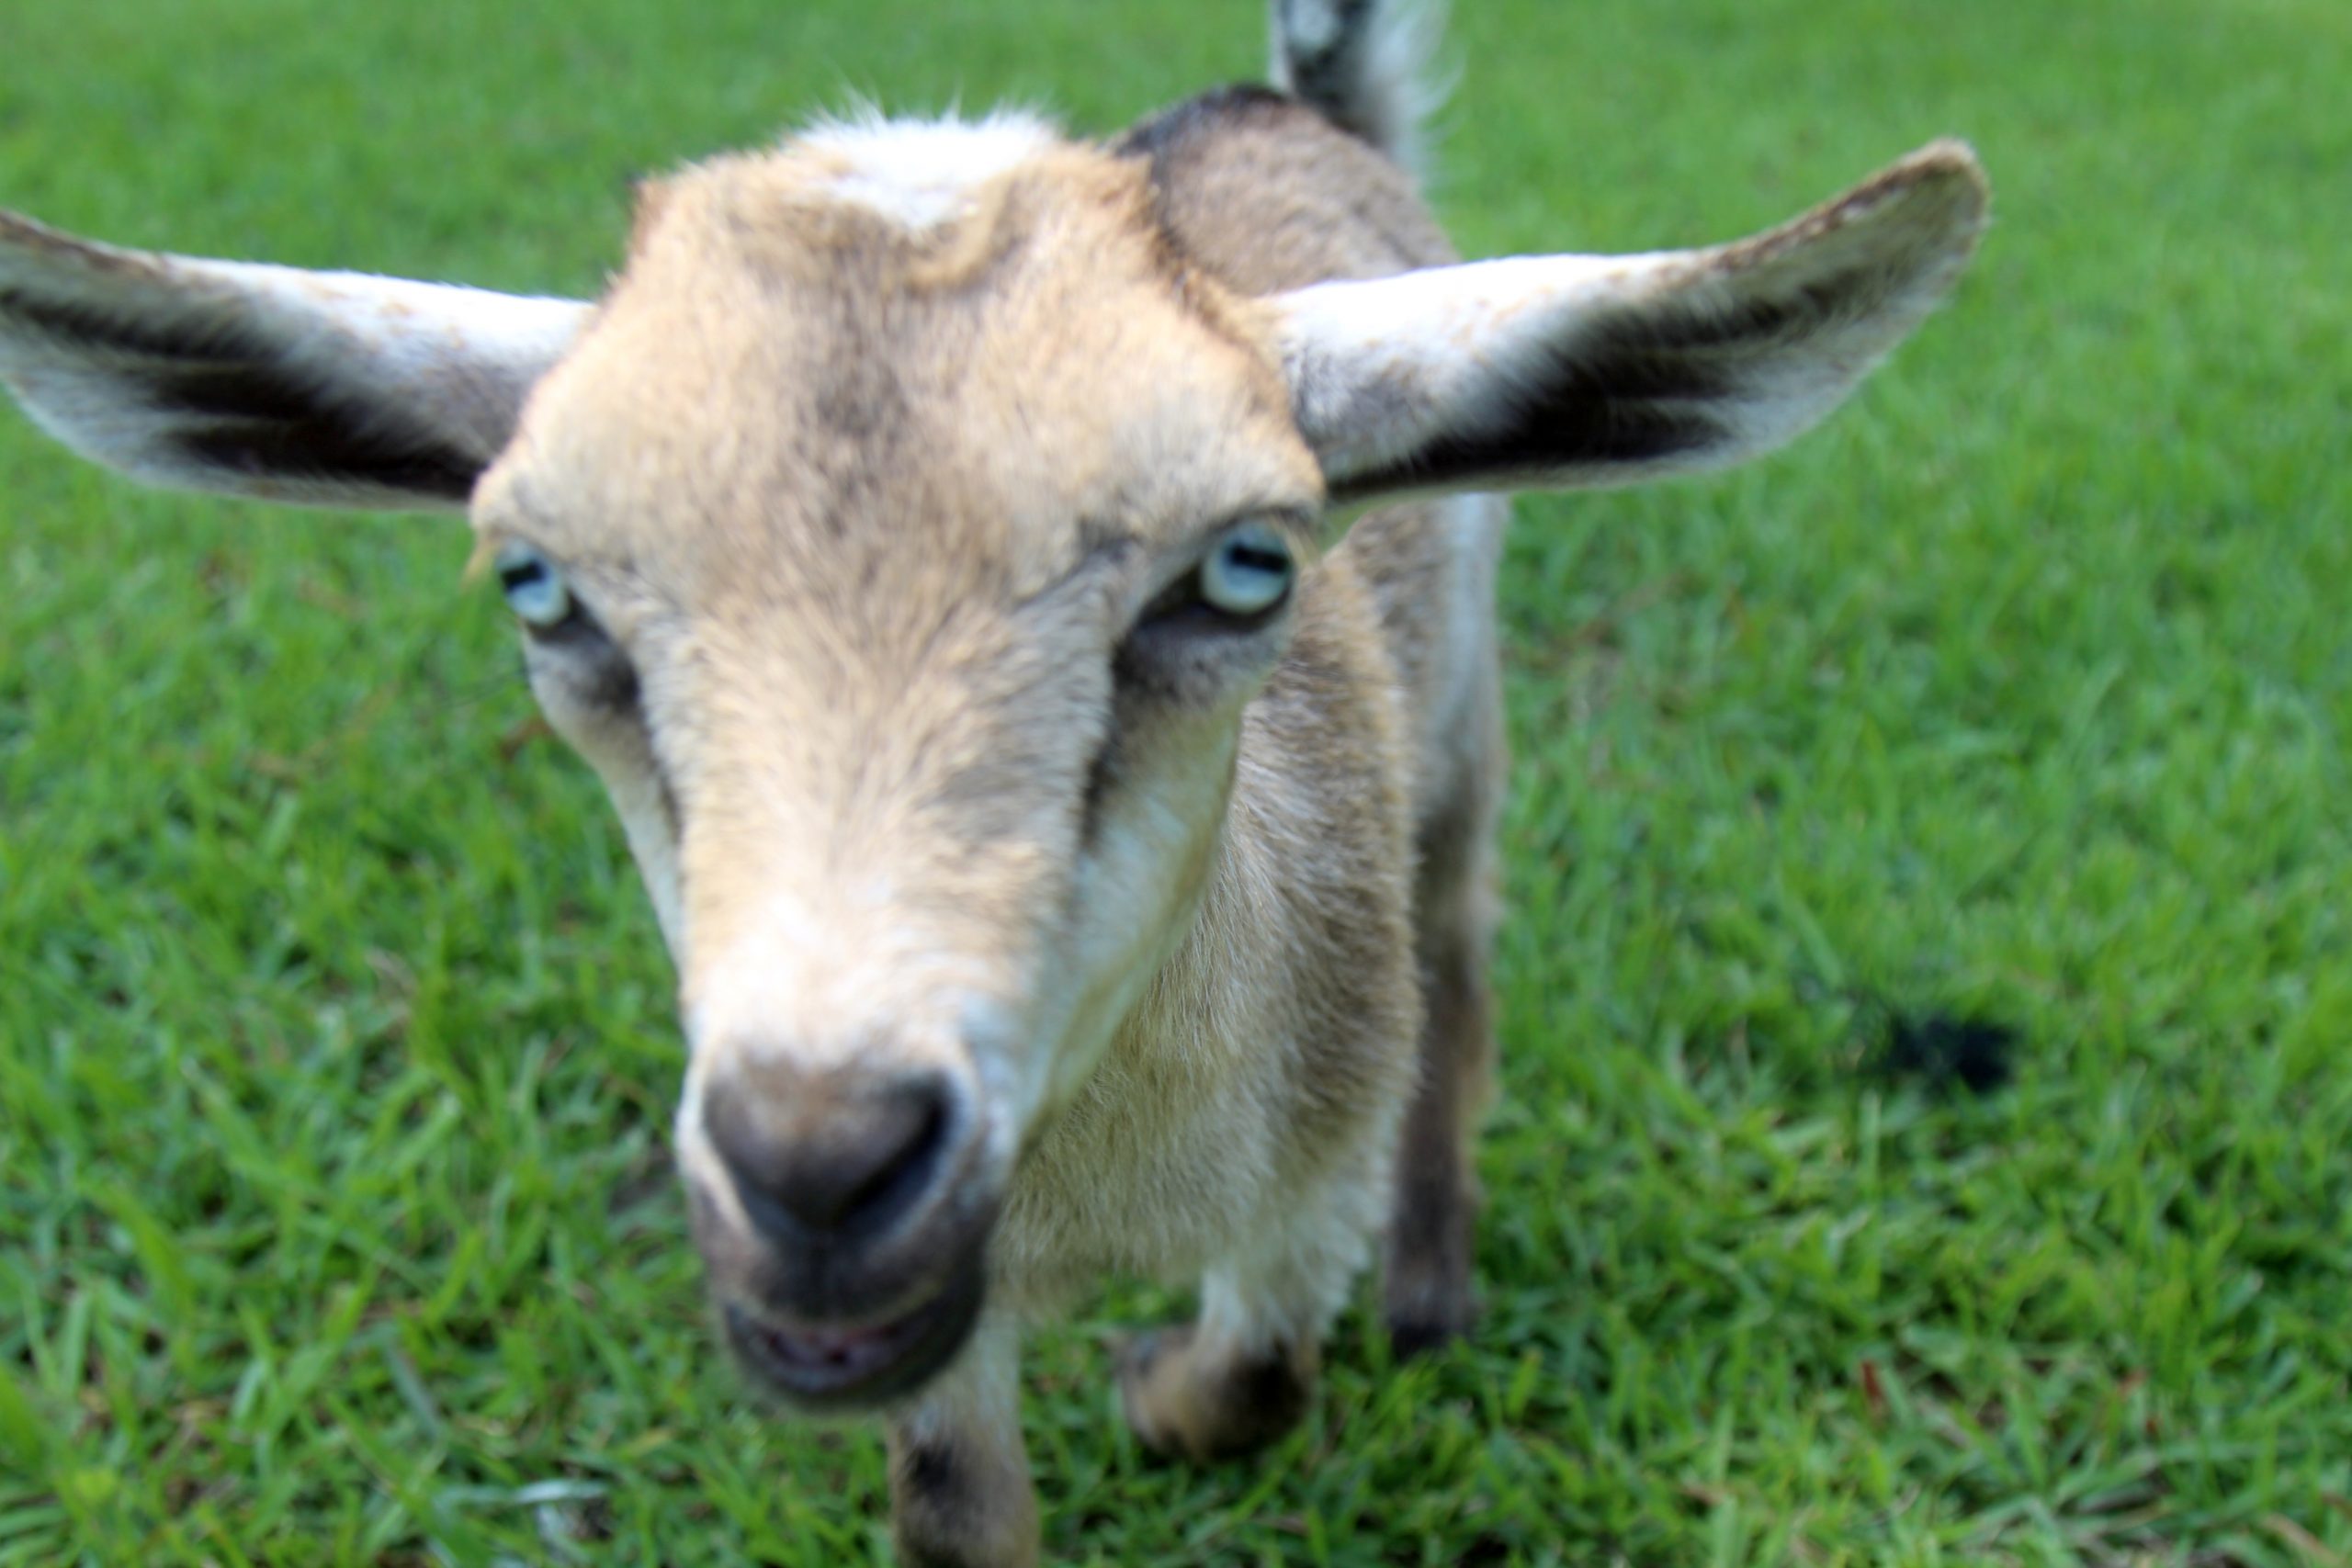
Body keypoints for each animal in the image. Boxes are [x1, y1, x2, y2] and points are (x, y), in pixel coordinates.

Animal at [0, 1, 1986, 1560]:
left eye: (1243, 565)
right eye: (537, 585)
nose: (816, 1165)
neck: (1100, 1180)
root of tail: (1287, 103)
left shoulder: (1309, 1172)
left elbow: (1254, 1378)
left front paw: (1152, 1382)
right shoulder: (929, 1328)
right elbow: (959, 1509)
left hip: (1463, 723)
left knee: (1464, 941)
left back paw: (1433, 1286)